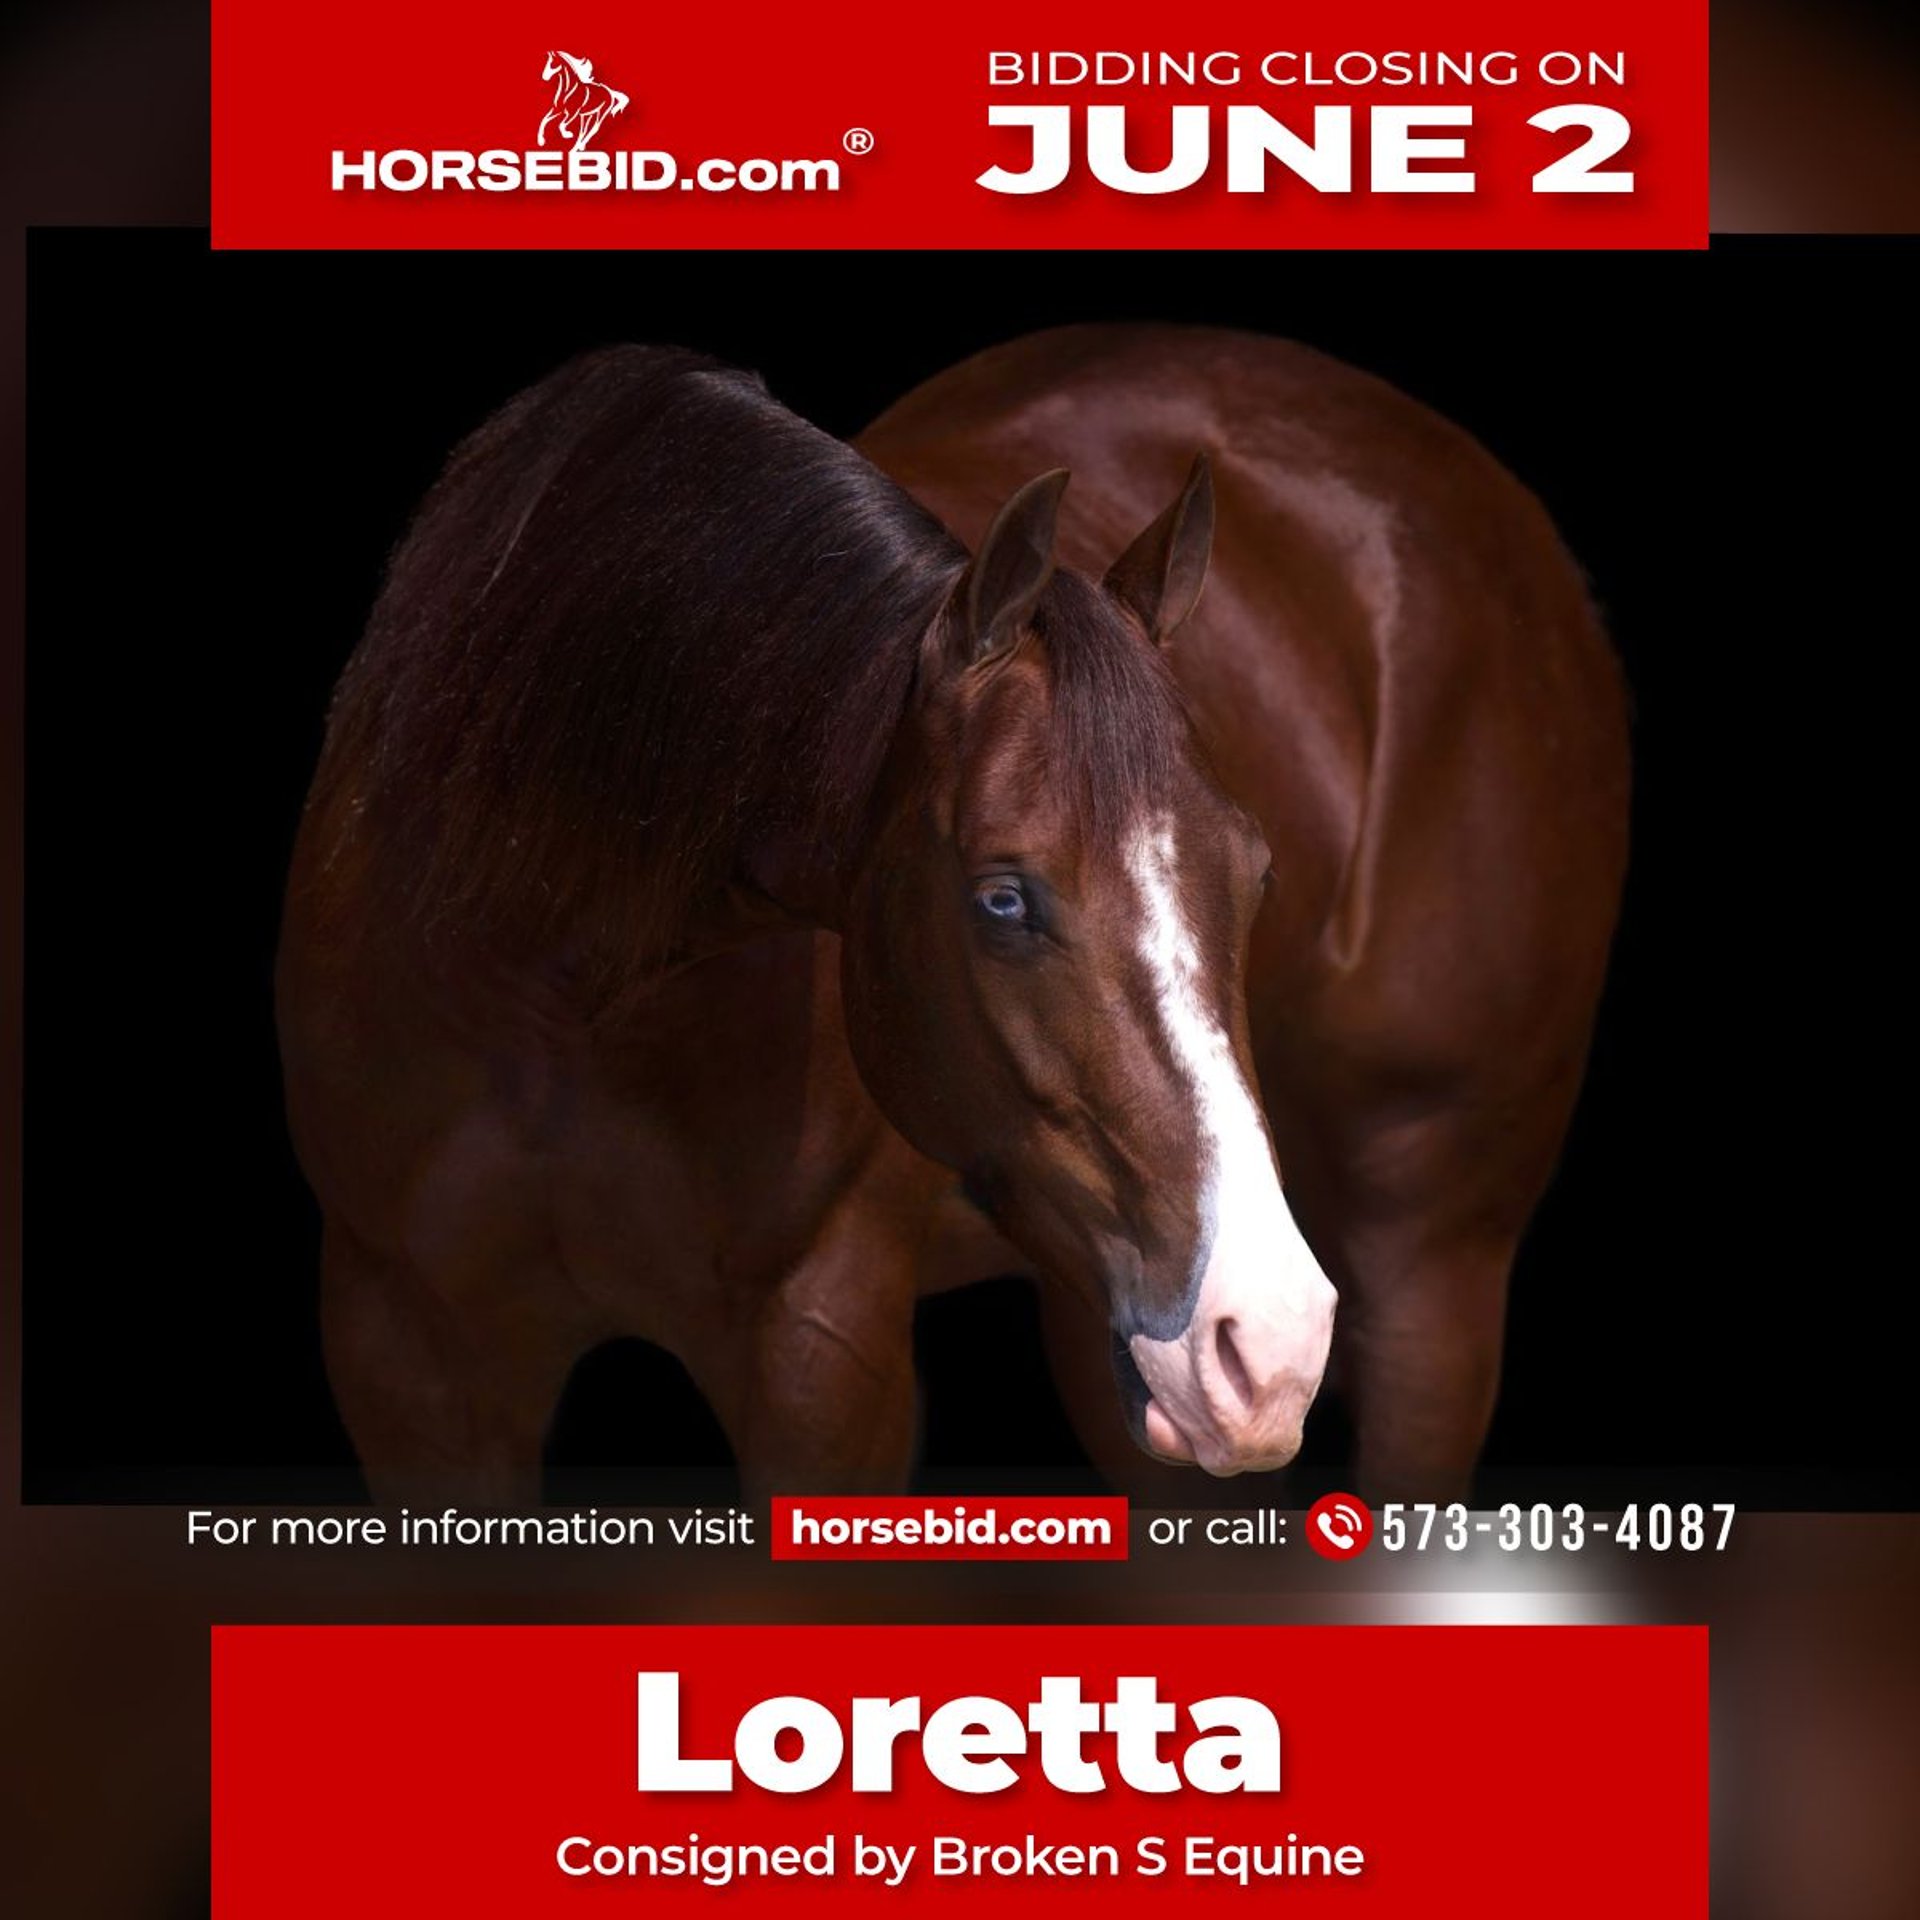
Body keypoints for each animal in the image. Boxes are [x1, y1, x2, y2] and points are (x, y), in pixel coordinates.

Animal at [276, 327, 1628, 1505]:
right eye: (1002, 896)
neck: (552, 985)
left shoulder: (822, 1360)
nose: (1270, 1339)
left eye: (1256, 877)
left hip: (1429, 1270)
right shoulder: (408, 1360)